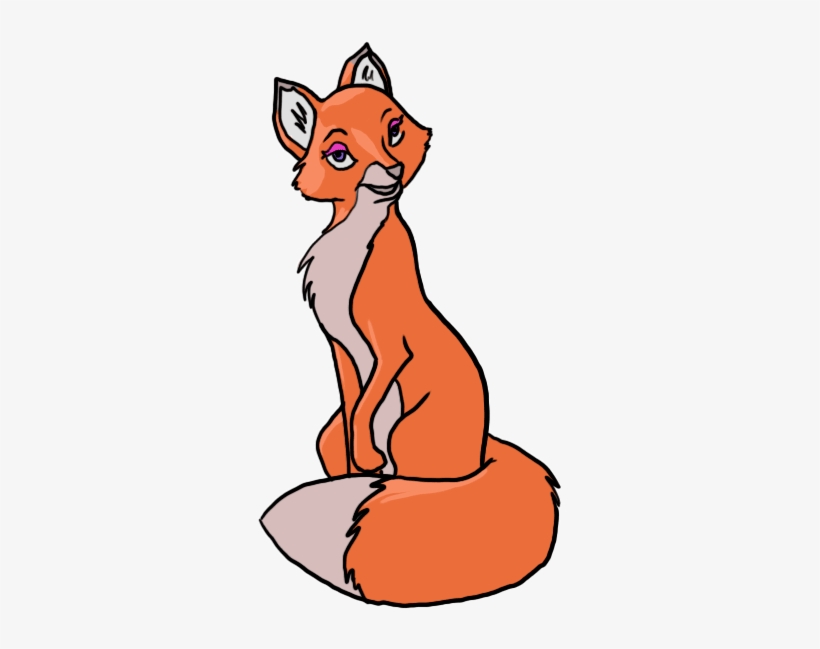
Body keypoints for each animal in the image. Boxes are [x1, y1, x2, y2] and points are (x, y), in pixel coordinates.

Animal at [261, 43, 560, 606]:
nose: (393, 170)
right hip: (326, 434)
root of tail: (482, 451)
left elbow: (367, 410)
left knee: (413, 477)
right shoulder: (339, 347)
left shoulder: (388, 346)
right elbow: (353, 412)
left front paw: (366, 464)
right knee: (355, 449)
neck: (350, 250)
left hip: (408, 434)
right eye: (339, 154)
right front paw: (357, 468)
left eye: (393, 130)